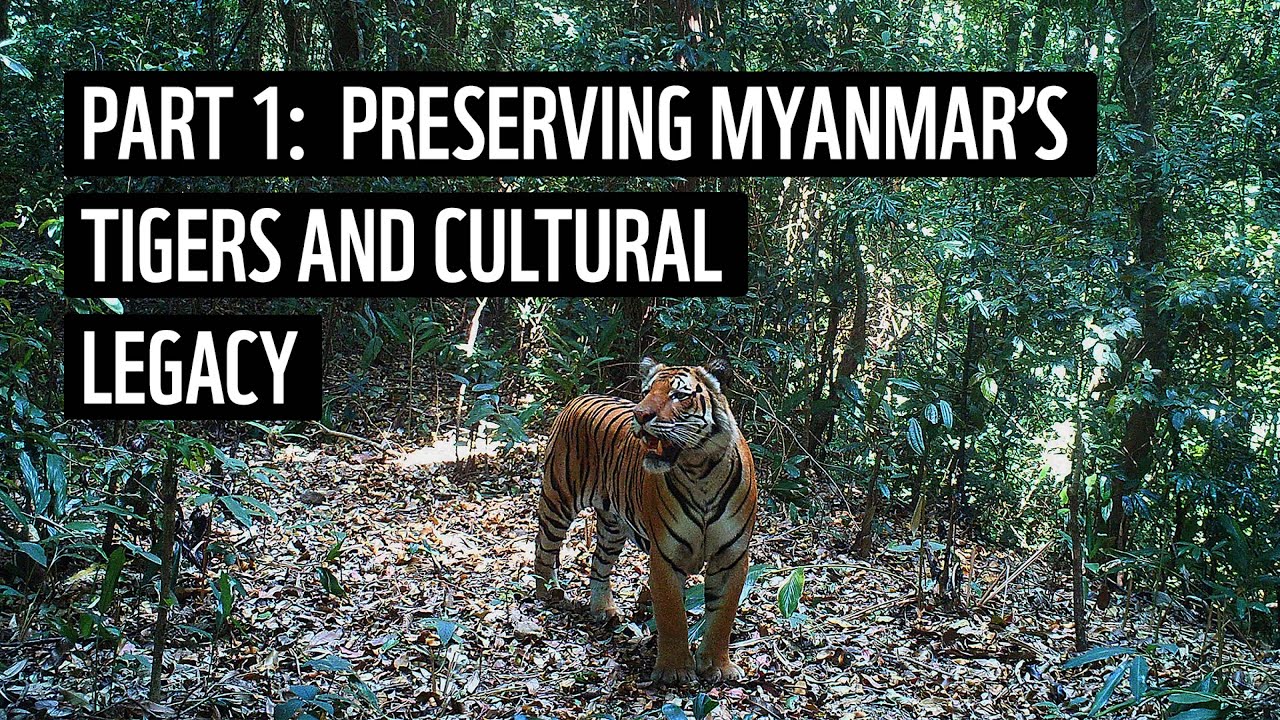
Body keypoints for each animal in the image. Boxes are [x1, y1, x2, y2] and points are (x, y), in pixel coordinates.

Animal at [533, 357, 757, 685]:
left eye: (679, 395)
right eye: (646, 391)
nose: (639, 415)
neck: (701, 473)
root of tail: (579, 398)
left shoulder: (732, 556)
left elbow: (722, 616)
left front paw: (717, 666)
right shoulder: (666, 554)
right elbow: (672, 614)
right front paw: (676, 670)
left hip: (612, 526)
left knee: (599, 564)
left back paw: (604, 609)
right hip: (558, 499)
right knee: (544, 548)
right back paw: (547, 593)